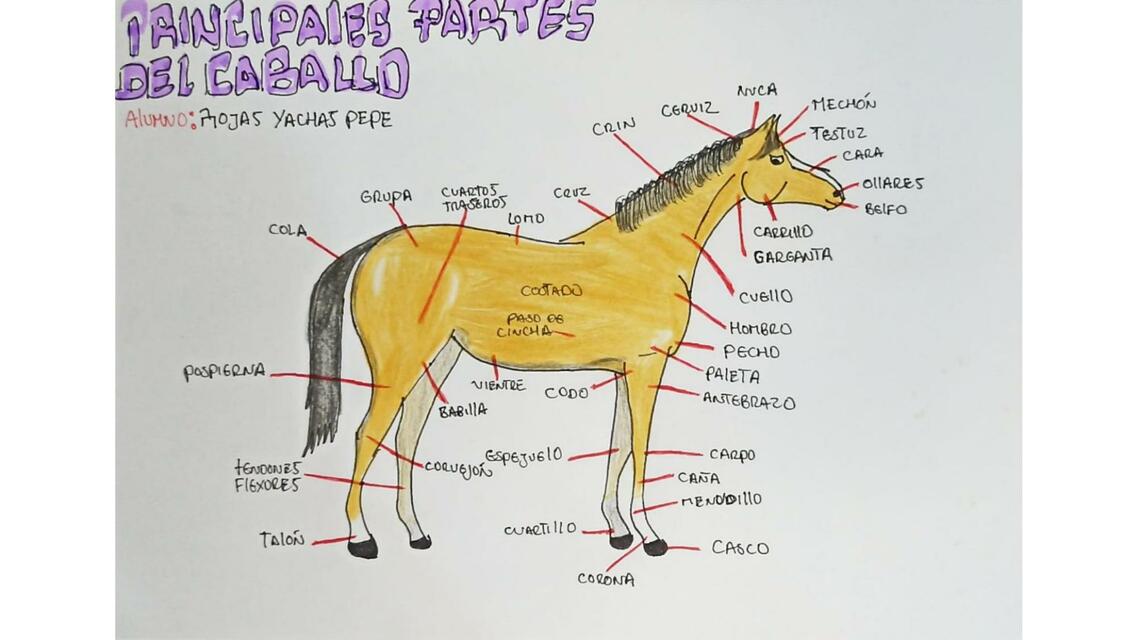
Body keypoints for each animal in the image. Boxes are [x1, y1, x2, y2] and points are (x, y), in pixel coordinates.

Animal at [300, 114, 845, 559]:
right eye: (777, 157)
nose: (837, 193)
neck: (648, 254)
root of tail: (378, 245)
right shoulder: (648, 367)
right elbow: (641, 447)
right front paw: (651, 536)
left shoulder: (626, 370)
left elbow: (618, 446)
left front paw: (619, 531)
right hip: (399, 363)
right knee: (367, 435)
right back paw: (361, 539)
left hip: (437, 360)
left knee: (406, 438)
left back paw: (417, 534)